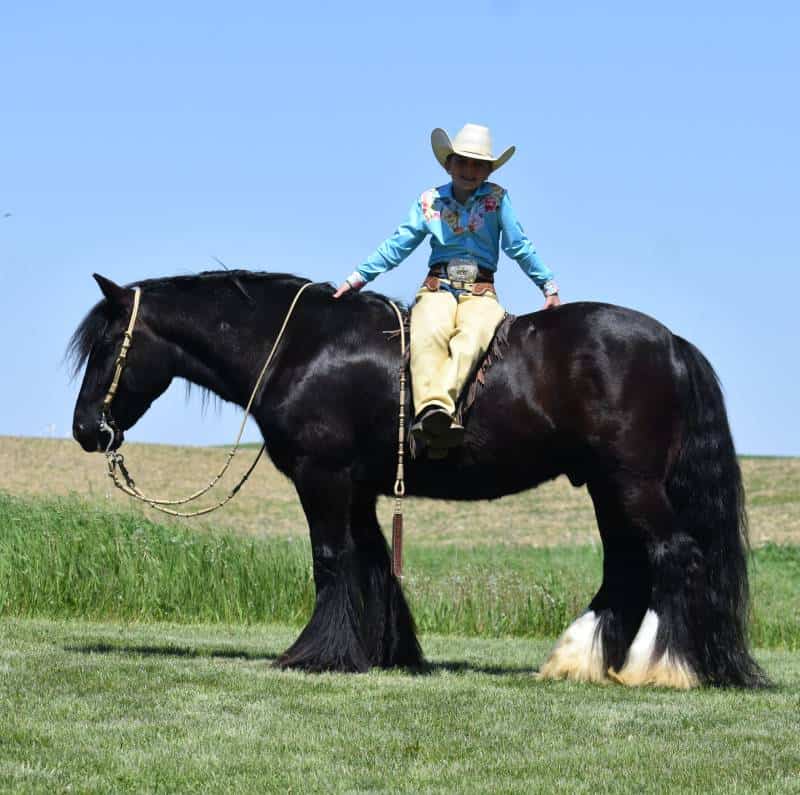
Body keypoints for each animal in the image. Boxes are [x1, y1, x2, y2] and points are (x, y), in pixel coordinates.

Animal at [69, 270, 767, 688]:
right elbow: (371, 560)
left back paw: (662, 668)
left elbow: (332, 559)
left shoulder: (323, 479)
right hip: (606, 486)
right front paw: (384, 651)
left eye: (105, 345)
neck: (303, 347)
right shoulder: (357, 488)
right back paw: (581, 660)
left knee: (674, 556)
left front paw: (314, 655)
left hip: (631, 482)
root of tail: (671, 343)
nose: (86, 430)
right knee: (626, 565)